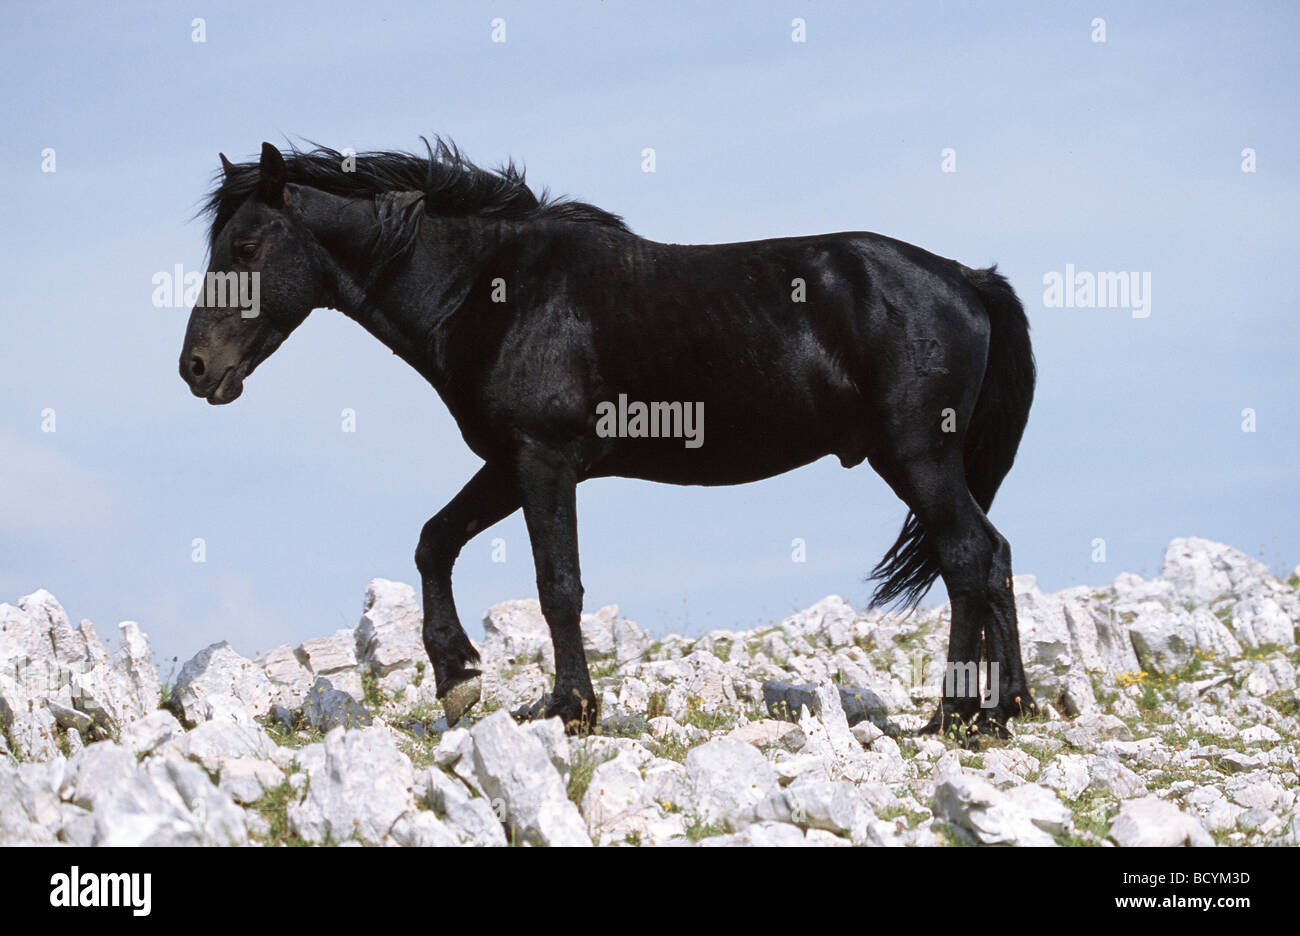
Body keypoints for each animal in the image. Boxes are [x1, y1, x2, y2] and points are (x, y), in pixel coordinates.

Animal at [180, 140, 1036, 736]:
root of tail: (967, 279)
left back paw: (953, 716)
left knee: (967, 559)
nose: (196, 368)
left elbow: (558, 584)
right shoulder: (507, 464)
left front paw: (566, 708)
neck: (488, 289)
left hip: (915, 456)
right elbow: (433, 542)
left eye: (247, 246)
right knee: (992, 558)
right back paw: (1005, 710)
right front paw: (458, 678)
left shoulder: (542, 460)